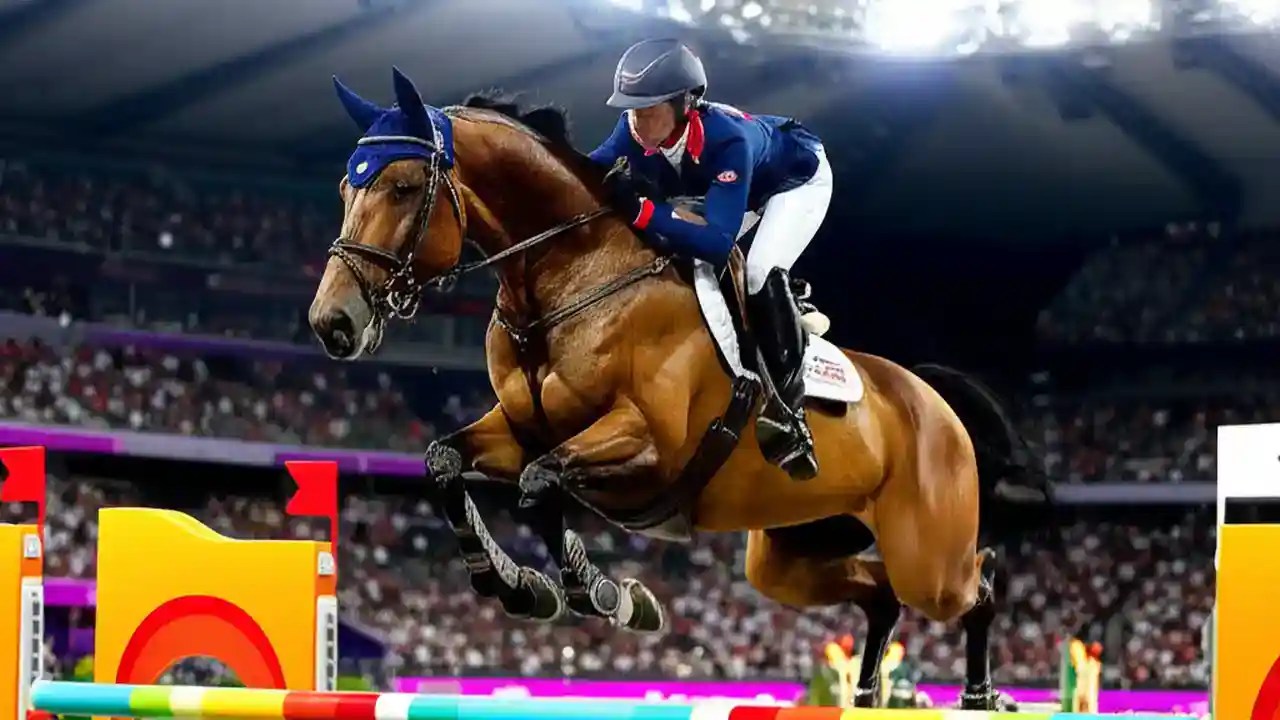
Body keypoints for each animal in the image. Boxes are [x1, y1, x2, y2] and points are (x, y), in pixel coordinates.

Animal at [307, 68, 1048, 710]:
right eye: (344, 188)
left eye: (404, 187)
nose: (332, 322)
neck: (571, 279)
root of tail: (931, 396)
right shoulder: (517, 430)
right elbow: (446, 464)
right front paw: (518, 586)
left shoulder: (646, 445)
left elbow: (542, 484)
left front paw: (603, 595)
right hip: (792, 553)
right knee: (880, 596)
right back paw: (870, 697)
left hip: (930, 556)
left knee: (977, 583)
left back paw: (983, 696)